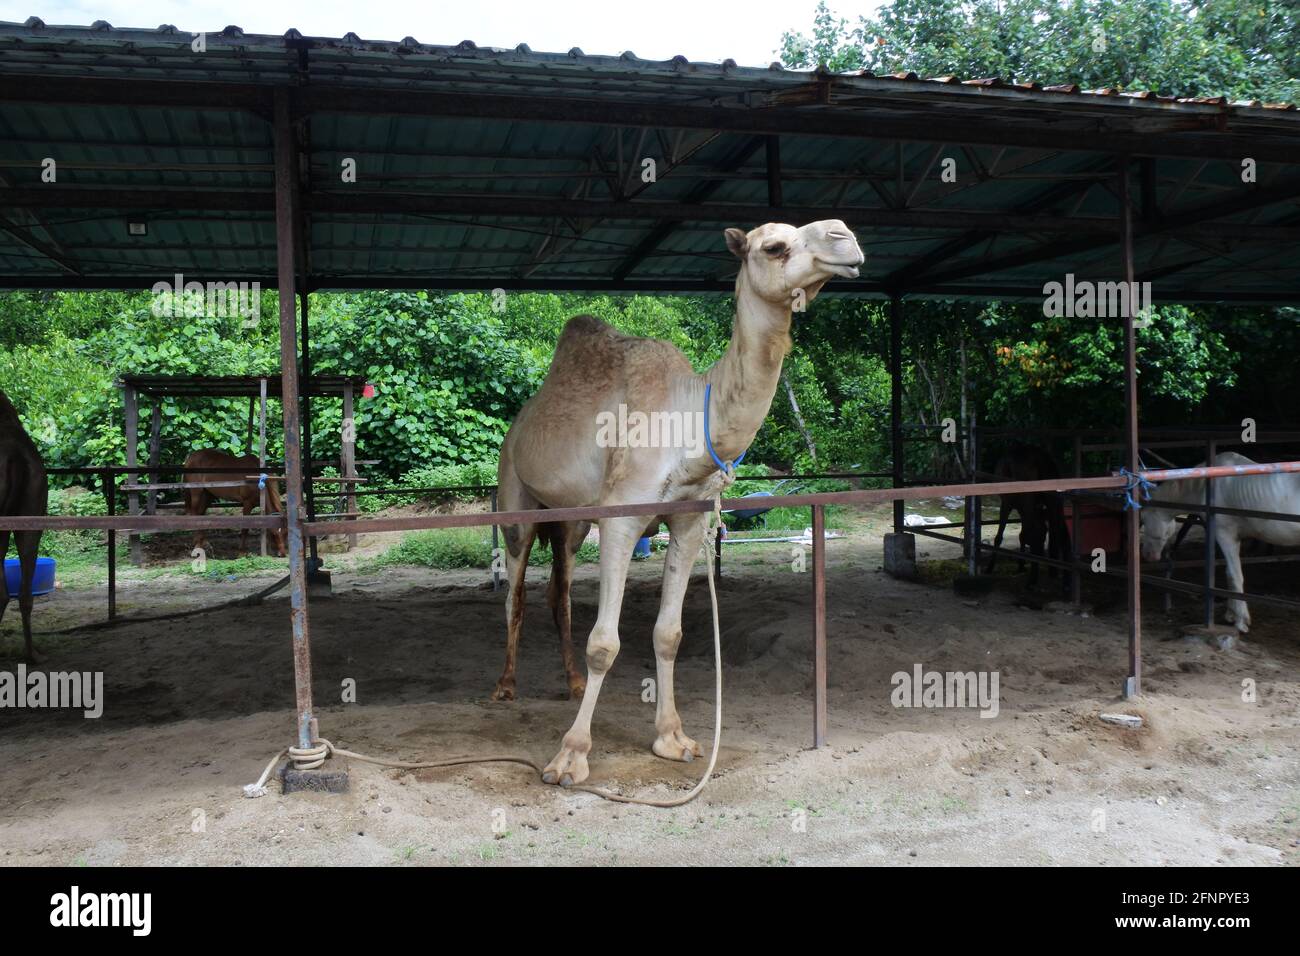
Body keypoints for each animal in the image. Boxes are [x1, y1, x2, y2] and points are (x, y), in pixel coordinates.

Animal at [494, 220, 863, 786]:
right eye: (774, 247)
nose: (845, 237)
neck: (690, 421)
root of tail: (519, 424)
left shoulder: (691, 521)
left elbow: (669, 633)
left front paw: (673, 740)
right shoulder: (622, 520)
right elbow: (605, 643)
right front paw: (570, 757)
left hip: (571, 521)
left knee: (560, 593)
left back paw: (572, 683)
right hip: (515, 493)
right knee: (514, 592)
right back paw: (506, 687)